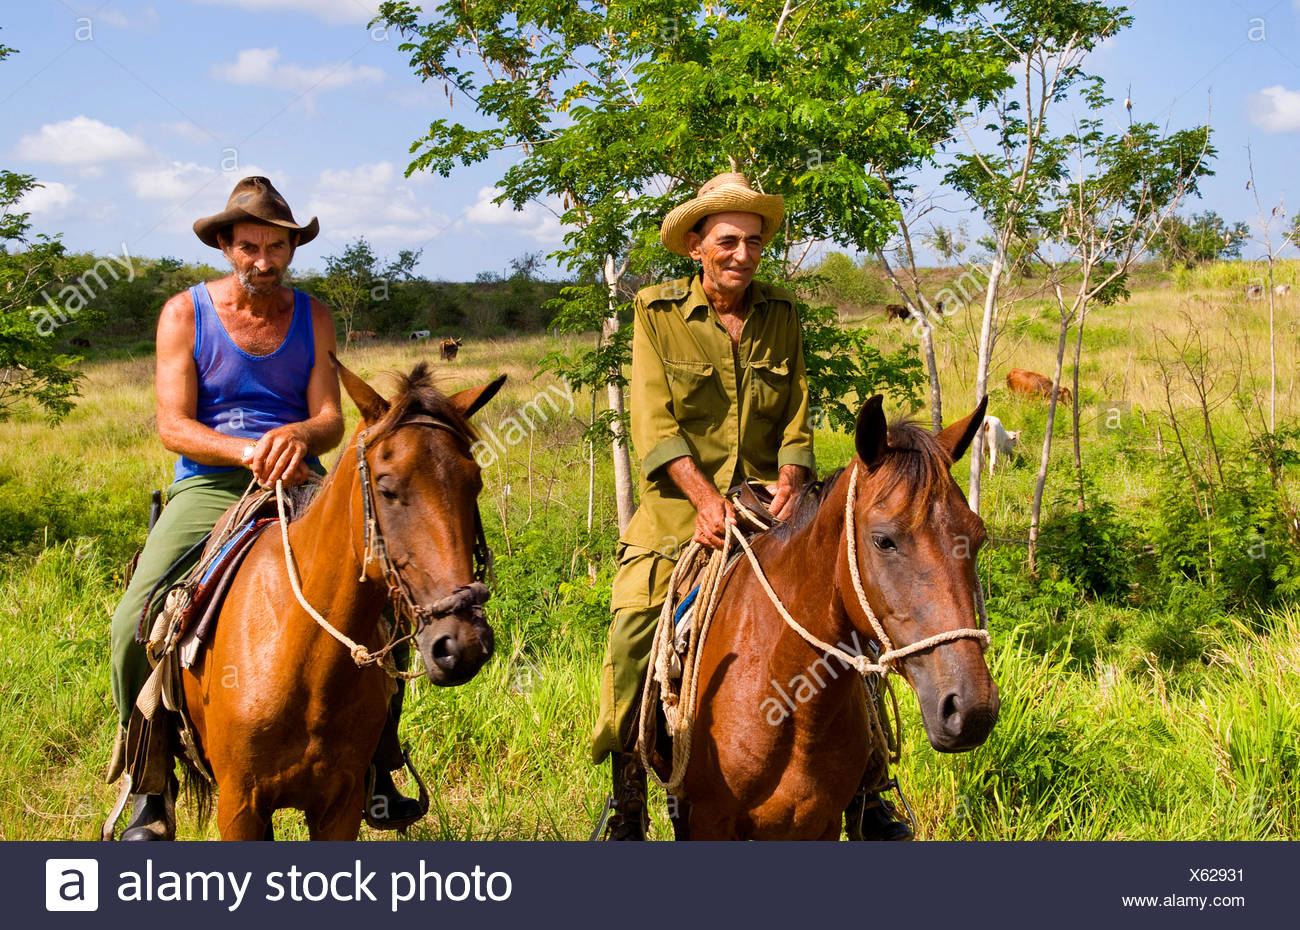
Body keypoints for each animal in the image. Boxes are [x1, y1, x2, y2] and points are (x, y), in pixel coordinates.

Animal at [181, 357, 504, 839]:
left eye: (474, 483)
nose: (462, 644)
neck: (302, 660)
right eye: (386, 488)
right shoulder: (239, 807)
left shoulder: (342, 804)